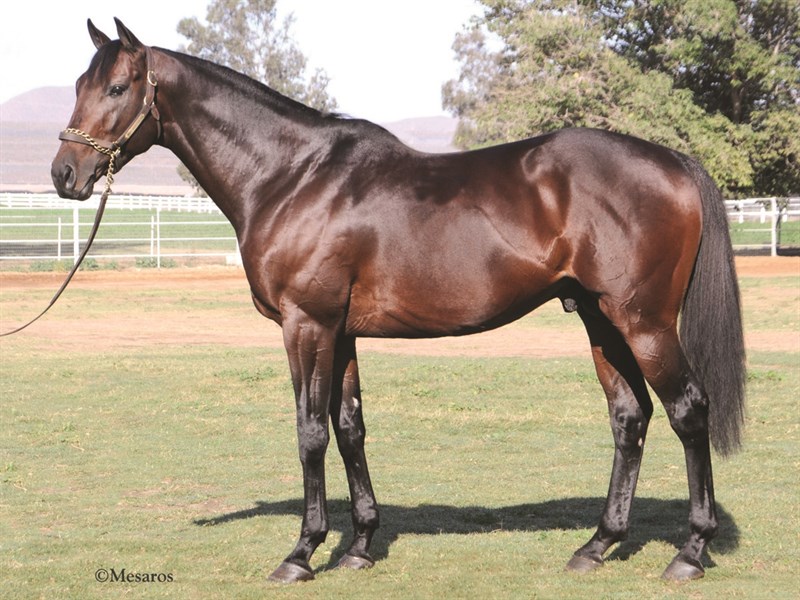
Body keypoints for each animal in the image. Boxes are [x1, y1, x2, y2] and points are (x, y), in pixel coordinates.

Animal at [51, 19, 746, 583]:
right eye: (82, 85)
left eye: (117, 89)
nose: (64, 175)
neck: (291, 175)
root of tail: (675, 162)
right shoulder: (341, 331)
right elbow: (350, 427)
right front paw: (359, 545)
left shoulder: (307, 325)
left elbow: (310, 432)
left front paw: (301, 553)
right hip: (600, 319)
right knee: (630, 417)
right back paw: (596, 545)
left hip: (643, 321)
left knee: (688, 411)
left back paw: (690, 553)